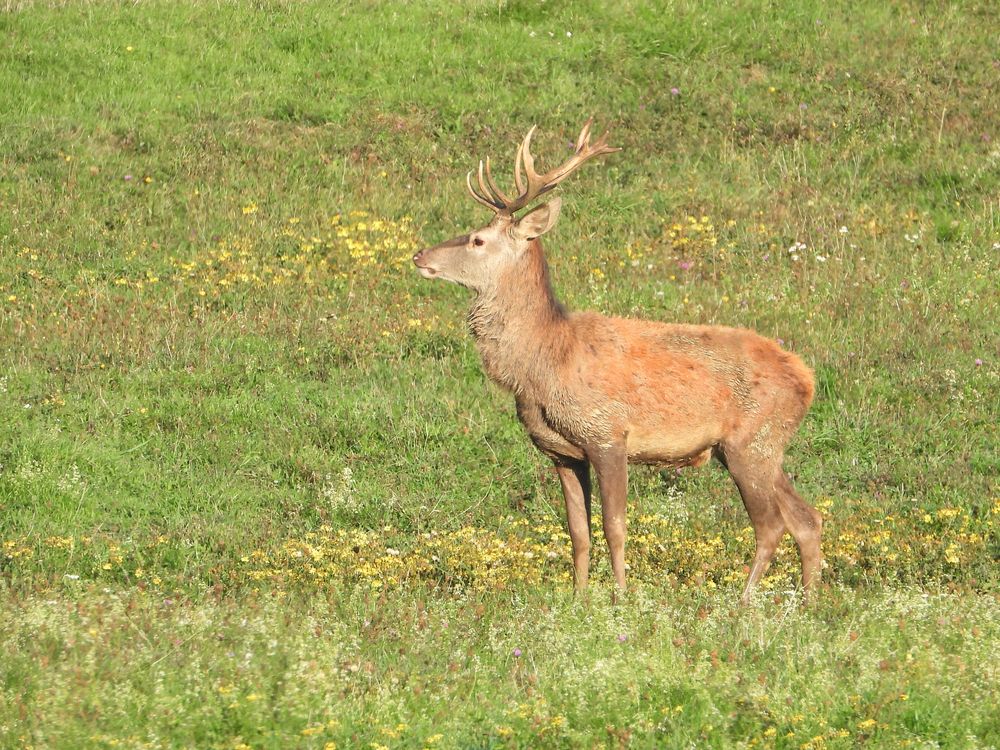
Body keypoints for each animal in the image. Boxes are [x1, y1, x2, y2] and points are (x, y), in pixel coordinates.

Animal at [412, 119, 822, 602]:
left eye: (478, 239)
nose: (420, 255)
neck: (543, 364)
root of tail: (807, 379)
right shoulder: (562, 452)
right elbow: (577, 531)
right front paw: (578, 598)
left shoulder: (608, 434)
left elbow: (615, 526)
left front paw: (621, 597)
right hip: (758, 447)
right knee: (808, 518)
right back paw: (810, 601)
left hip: (752, 441)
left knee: (771, 524)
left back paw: (743, 602)